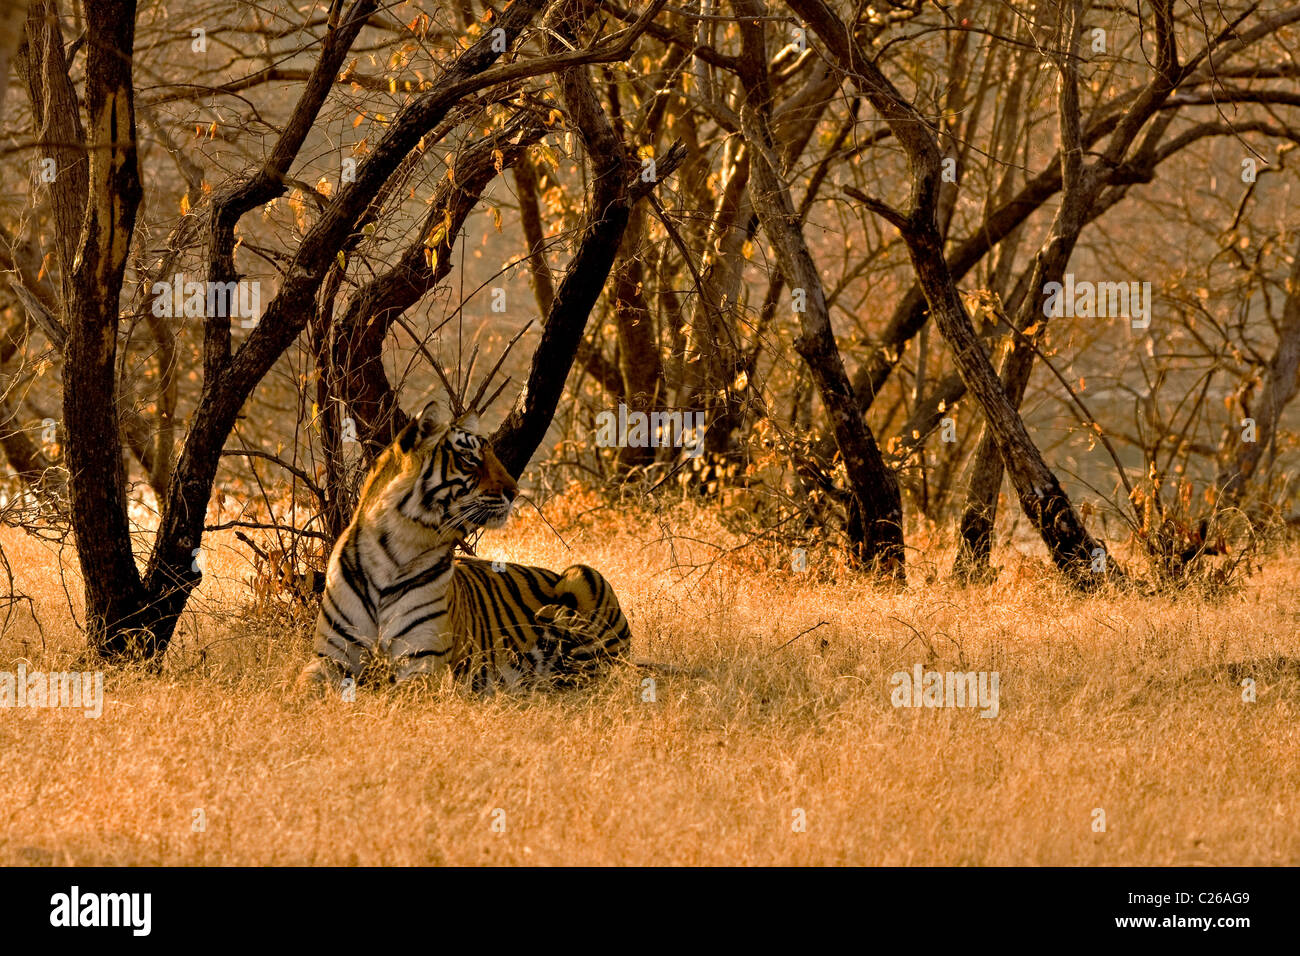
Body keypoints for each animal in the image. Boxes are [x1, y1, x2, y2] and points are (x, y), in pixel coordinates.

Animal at [297, 397, 632, 693]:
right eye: (470, 459)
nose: (515, 491)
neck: (395, 550)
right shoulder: (329, 659)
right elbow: (301, 690)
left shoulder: (423, 664)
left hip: (582, 575)